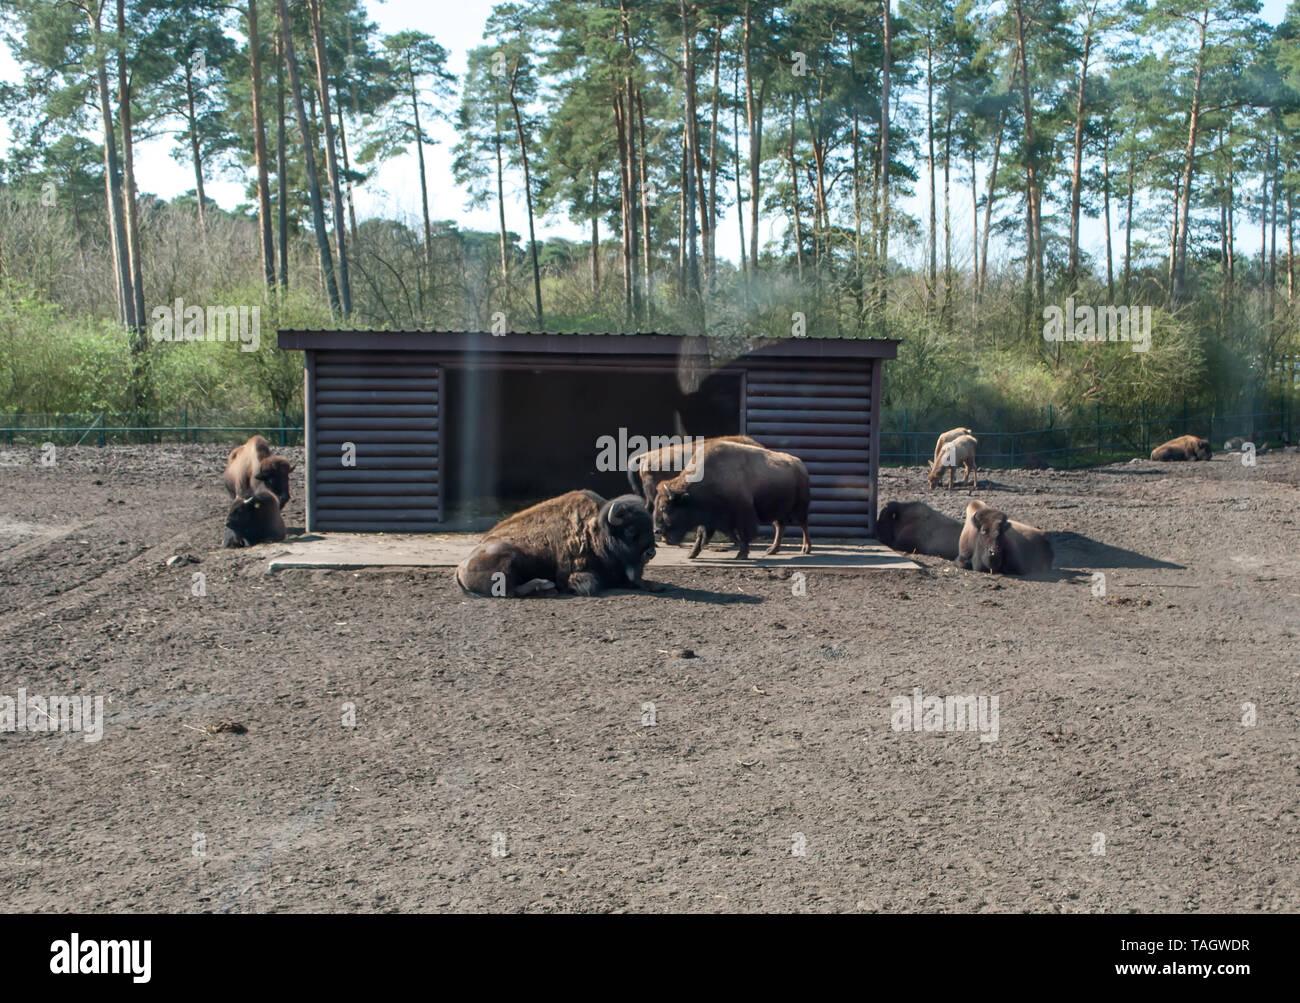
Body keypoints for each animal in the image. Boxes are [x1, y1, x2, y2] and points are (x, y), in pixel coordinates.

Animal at [456, 490, 659, 597]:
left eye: (650, 526)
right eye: (630, 530)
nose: (651, 552)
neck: (595, 530)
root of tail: (460, 567)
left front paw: (654, 585)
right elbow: (589, 584)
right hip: (507, 556)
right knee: (512, 590)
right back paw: (545, 586)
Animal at [653, 439, 810, 559]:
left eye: (665, 507)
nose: (657, 531)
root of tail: (799, 464)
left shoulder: (741, 515)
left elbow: (740, 534)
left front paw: (742, 554)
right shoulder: (710, 518)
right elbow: (703, 534)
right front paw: (692, 554)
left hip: (799, 509)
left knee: (803, 525)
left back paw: (806, 548)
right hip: (778, 512)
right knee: (780, 527)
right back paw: (772, 550)